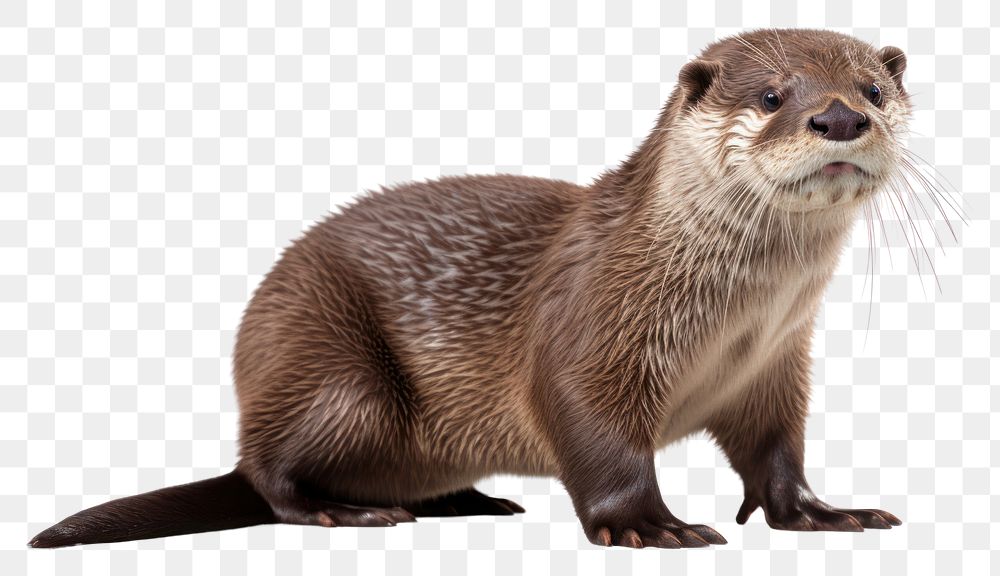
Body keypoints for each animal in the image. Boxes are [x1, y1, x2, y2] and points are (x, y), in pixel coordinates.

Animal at [31, 28, 908, 549]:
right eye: (772, 95)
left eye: (872, 89)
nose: (837, 119)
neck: (734, 320)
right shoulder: (588, 326)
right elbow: (593, 433)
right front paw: (650, 526)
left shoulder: (775, 366)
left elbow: (777, 451)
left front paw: (824, 513)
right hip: (332, 371)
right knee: (268, 472)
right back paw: (343, 510)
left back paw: (465, 502)